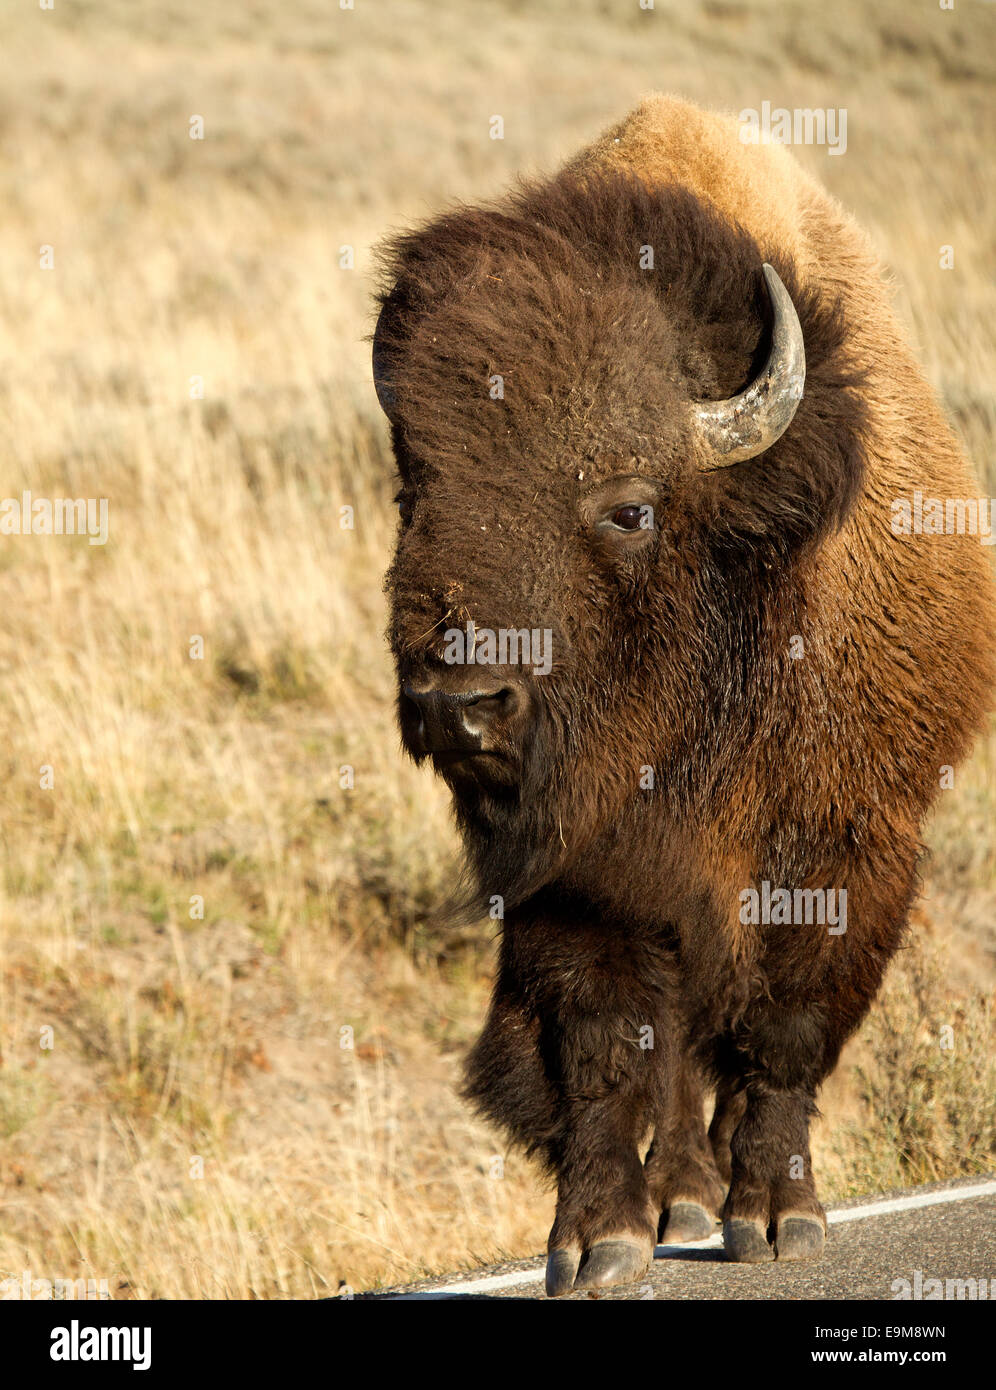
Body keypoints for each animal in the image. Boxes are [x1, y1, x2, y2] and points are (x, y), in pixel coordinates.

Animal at [371, 95, 996, 1295]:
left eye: (628, 508)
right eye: (411, 494)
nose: (458, 705)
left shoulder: (845, 846)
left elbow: (783, 1034)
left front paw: (778, 1218)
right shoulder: (583, 882)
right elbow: (611, 1047)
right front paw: (596, 1241)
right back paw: (681, 1200)